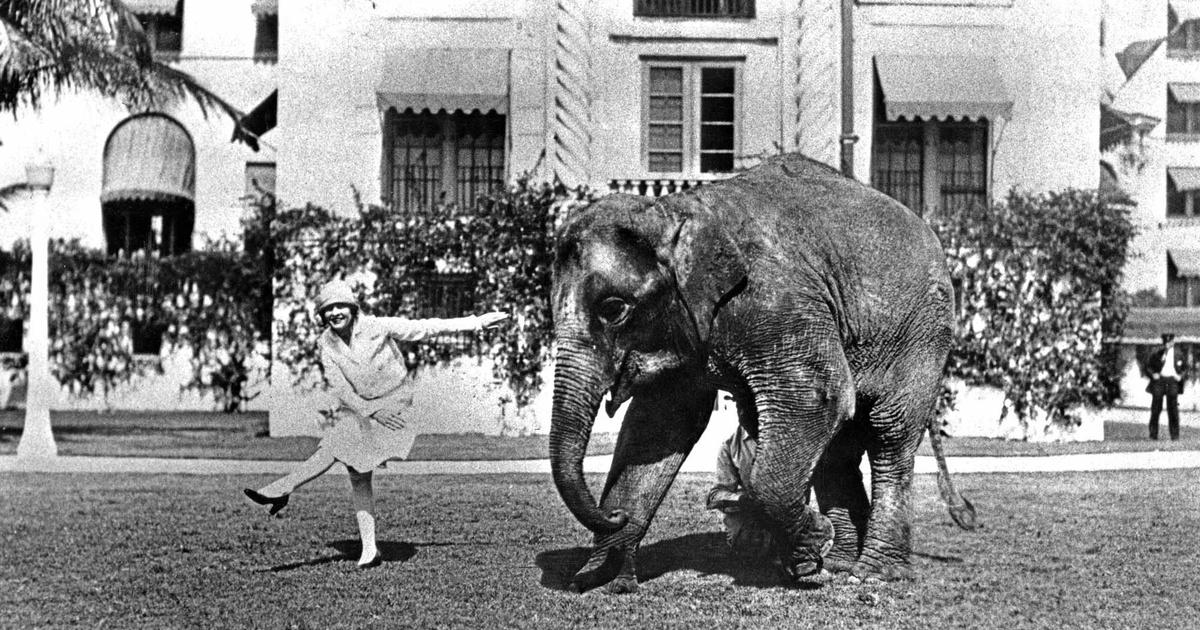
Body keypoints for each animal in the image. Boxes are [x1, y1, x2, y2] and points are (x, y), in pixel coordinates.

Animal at [548, 153, 976, 594]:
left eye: (613, 309)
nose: (614, 517)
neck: (677, 211)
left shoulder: (777, 300)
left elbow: (817, 398)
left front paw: (813, 542)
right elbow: (659, 426)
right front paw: (601, 579)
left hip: (922, 334)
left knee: (888, 433)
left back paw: (873, 572)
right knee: (838, 446)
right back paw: (838, 564)